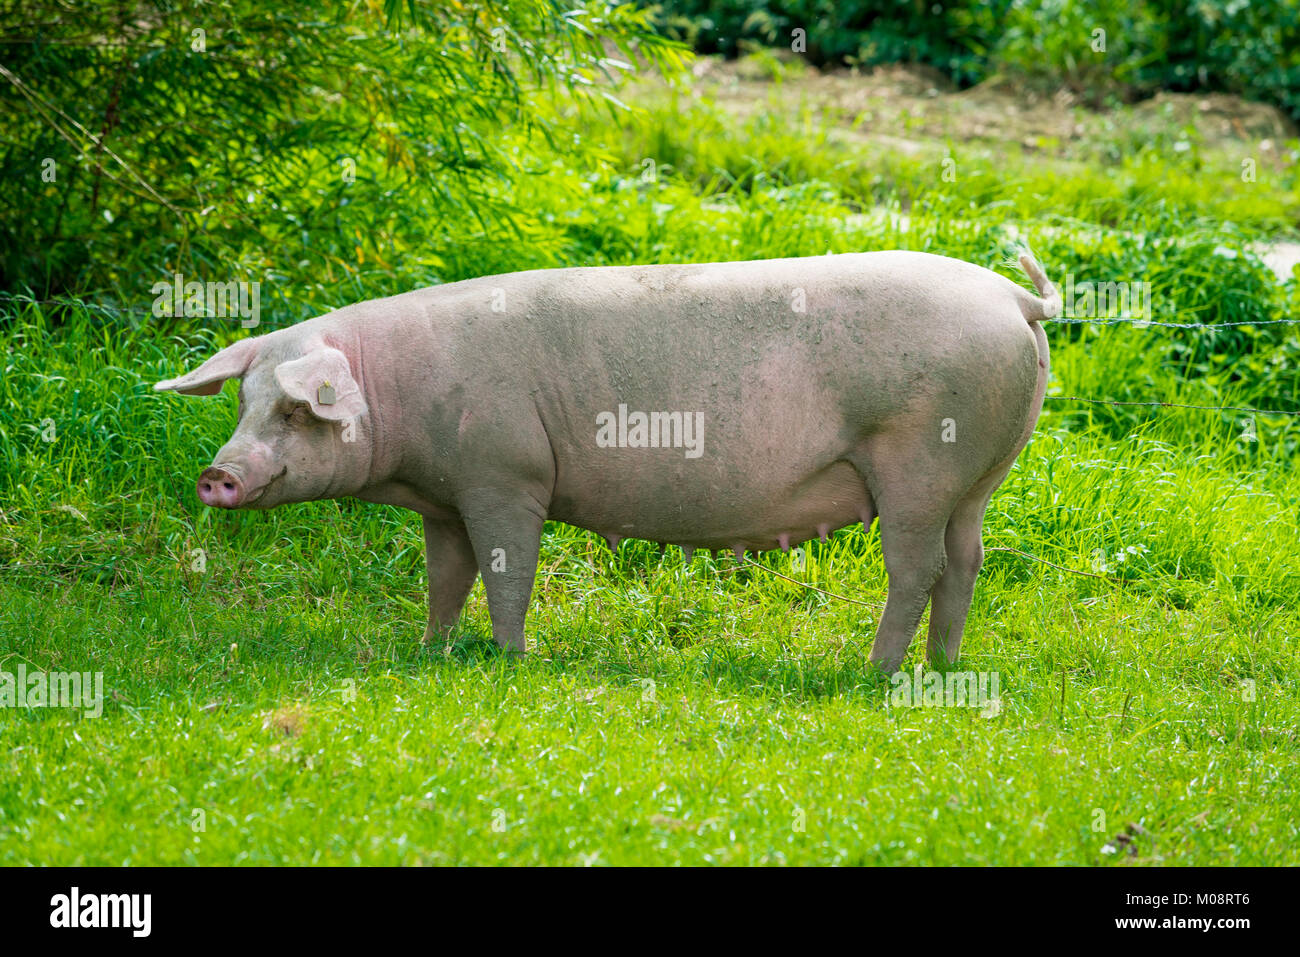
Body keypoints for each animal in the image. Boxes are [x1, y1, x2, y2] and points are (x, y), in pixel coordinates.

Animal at [155, 250, 1057, 671]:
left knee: (916, 567)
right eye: (242, 403)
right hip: (980, 474)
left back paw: (870, 672)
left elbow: (507, 569)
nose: (217, 473)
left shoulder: (505, 476)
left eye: (294, 410)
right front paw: (431, 652)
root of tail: (1017, 299)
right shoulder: (448, 499)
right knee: (966, 561)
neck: (400, 397)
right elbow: (446, 576)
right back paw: (943, 667)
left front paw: (511, 659)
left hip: (919, 461)